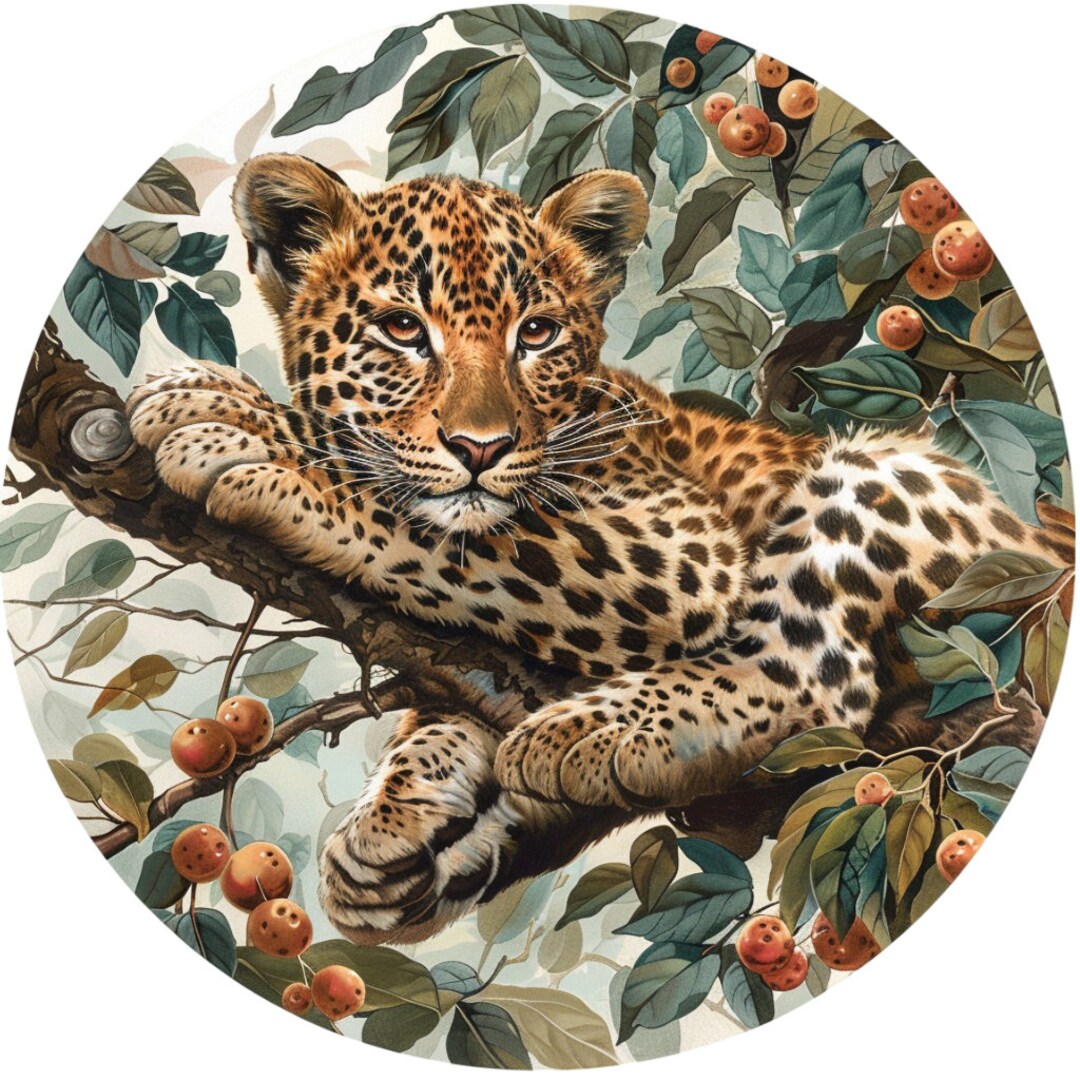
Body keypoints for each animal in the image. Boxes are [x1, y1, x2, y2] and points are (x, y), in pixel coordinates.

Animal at [126, 152, 1074, 945]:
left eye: (537, 334)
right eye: (400, 328)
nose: (482, 447)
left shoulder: (680, 543)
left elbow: (438, 525)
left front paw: (237, 424)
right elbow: (452, 691)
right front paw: (396, 822)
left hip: (909, 477)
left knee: (818, 675)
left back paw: (608, 728)